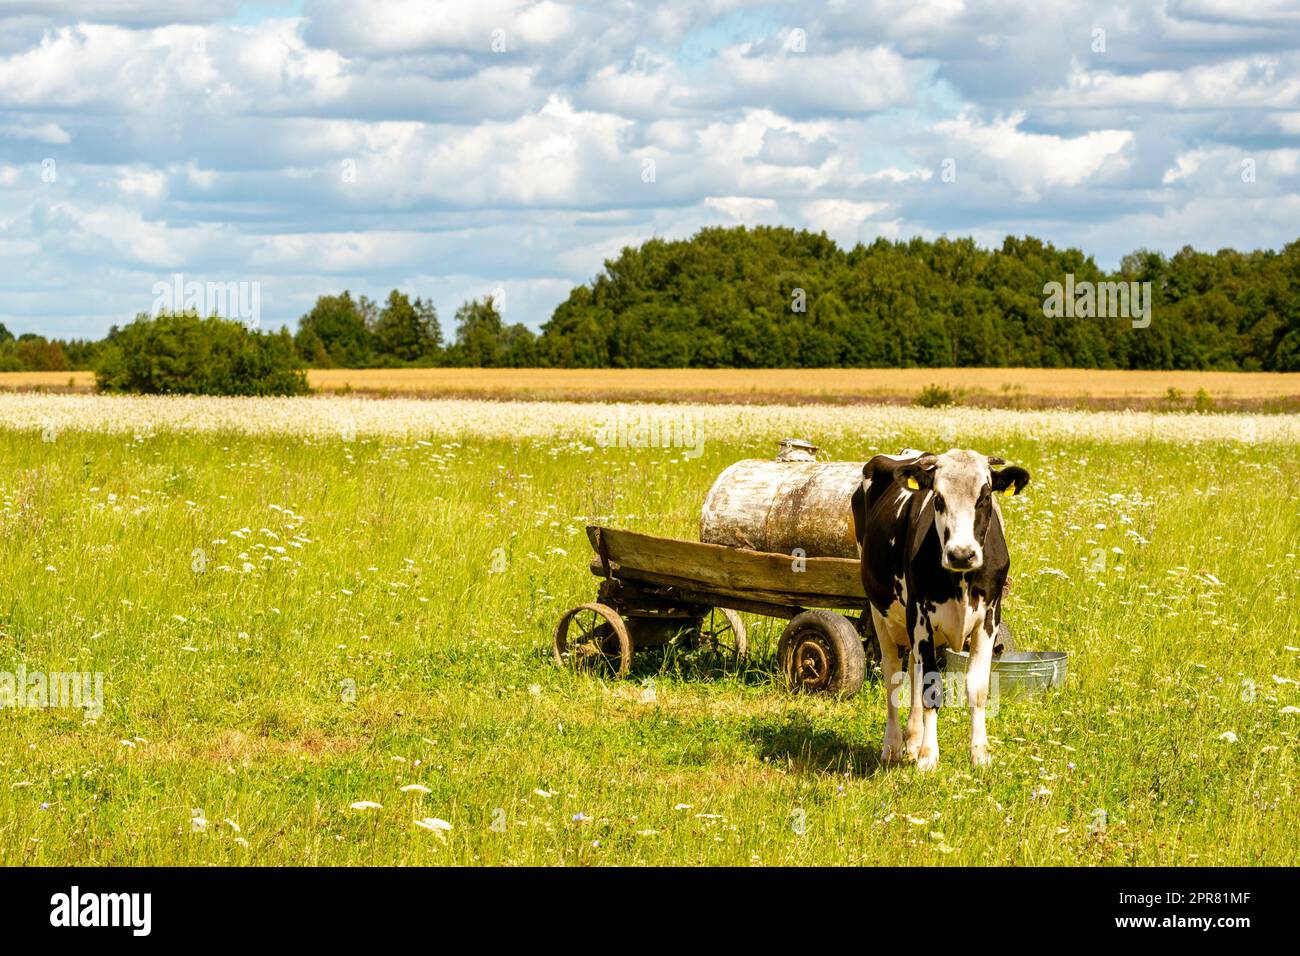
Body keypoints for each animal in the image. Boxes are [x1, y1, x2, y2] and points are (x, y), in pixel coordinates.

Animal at [851, 449, 1030, 770]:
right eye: (938, 498)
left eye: (985, 497)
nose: (961, 553)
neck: (961, 579)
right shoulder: (920, 617)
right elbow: (930, 687)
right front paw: (928, 756)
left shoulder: (989, 620)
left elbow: (978, 688)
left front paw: (980, 754)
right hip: (879, 611)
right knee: (893, 675)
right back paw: (893, 746)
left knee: (912, 670)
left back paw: (912, 739)